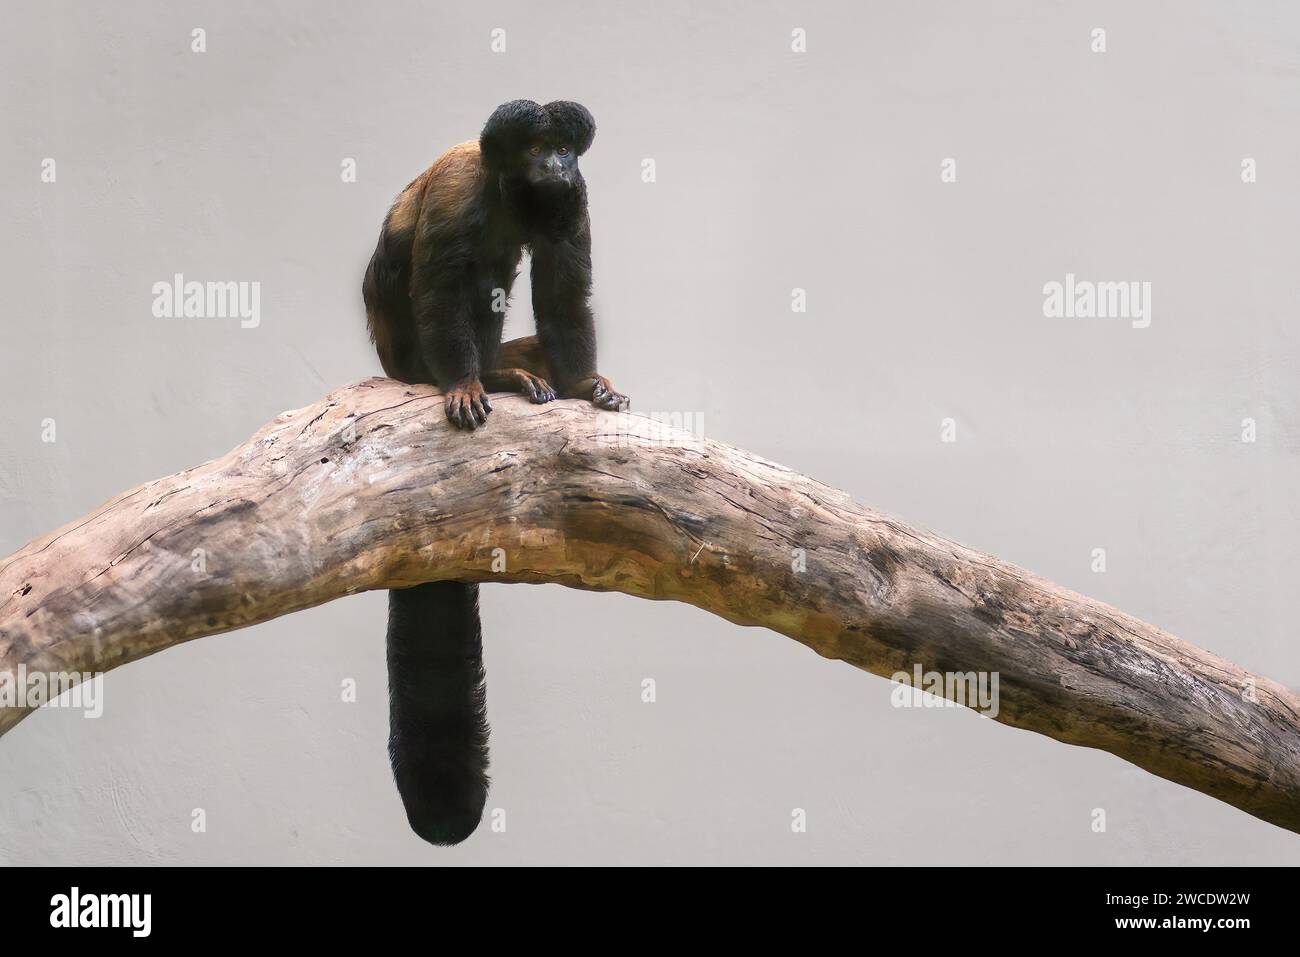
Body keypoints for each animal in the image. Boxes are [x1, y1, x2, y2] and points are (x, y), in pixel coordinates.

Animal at [361, 100, 627, 845]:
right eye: (540, 146)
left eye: (566, 149)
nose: (559, 161)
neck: (515, 192)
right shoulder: (457, 195)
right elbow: (442, 285)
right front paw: (461, 385)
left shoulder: (574, 200)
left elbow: (566, 285)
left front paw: (586, 385)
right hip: (407, 361)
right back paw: (491, 377)